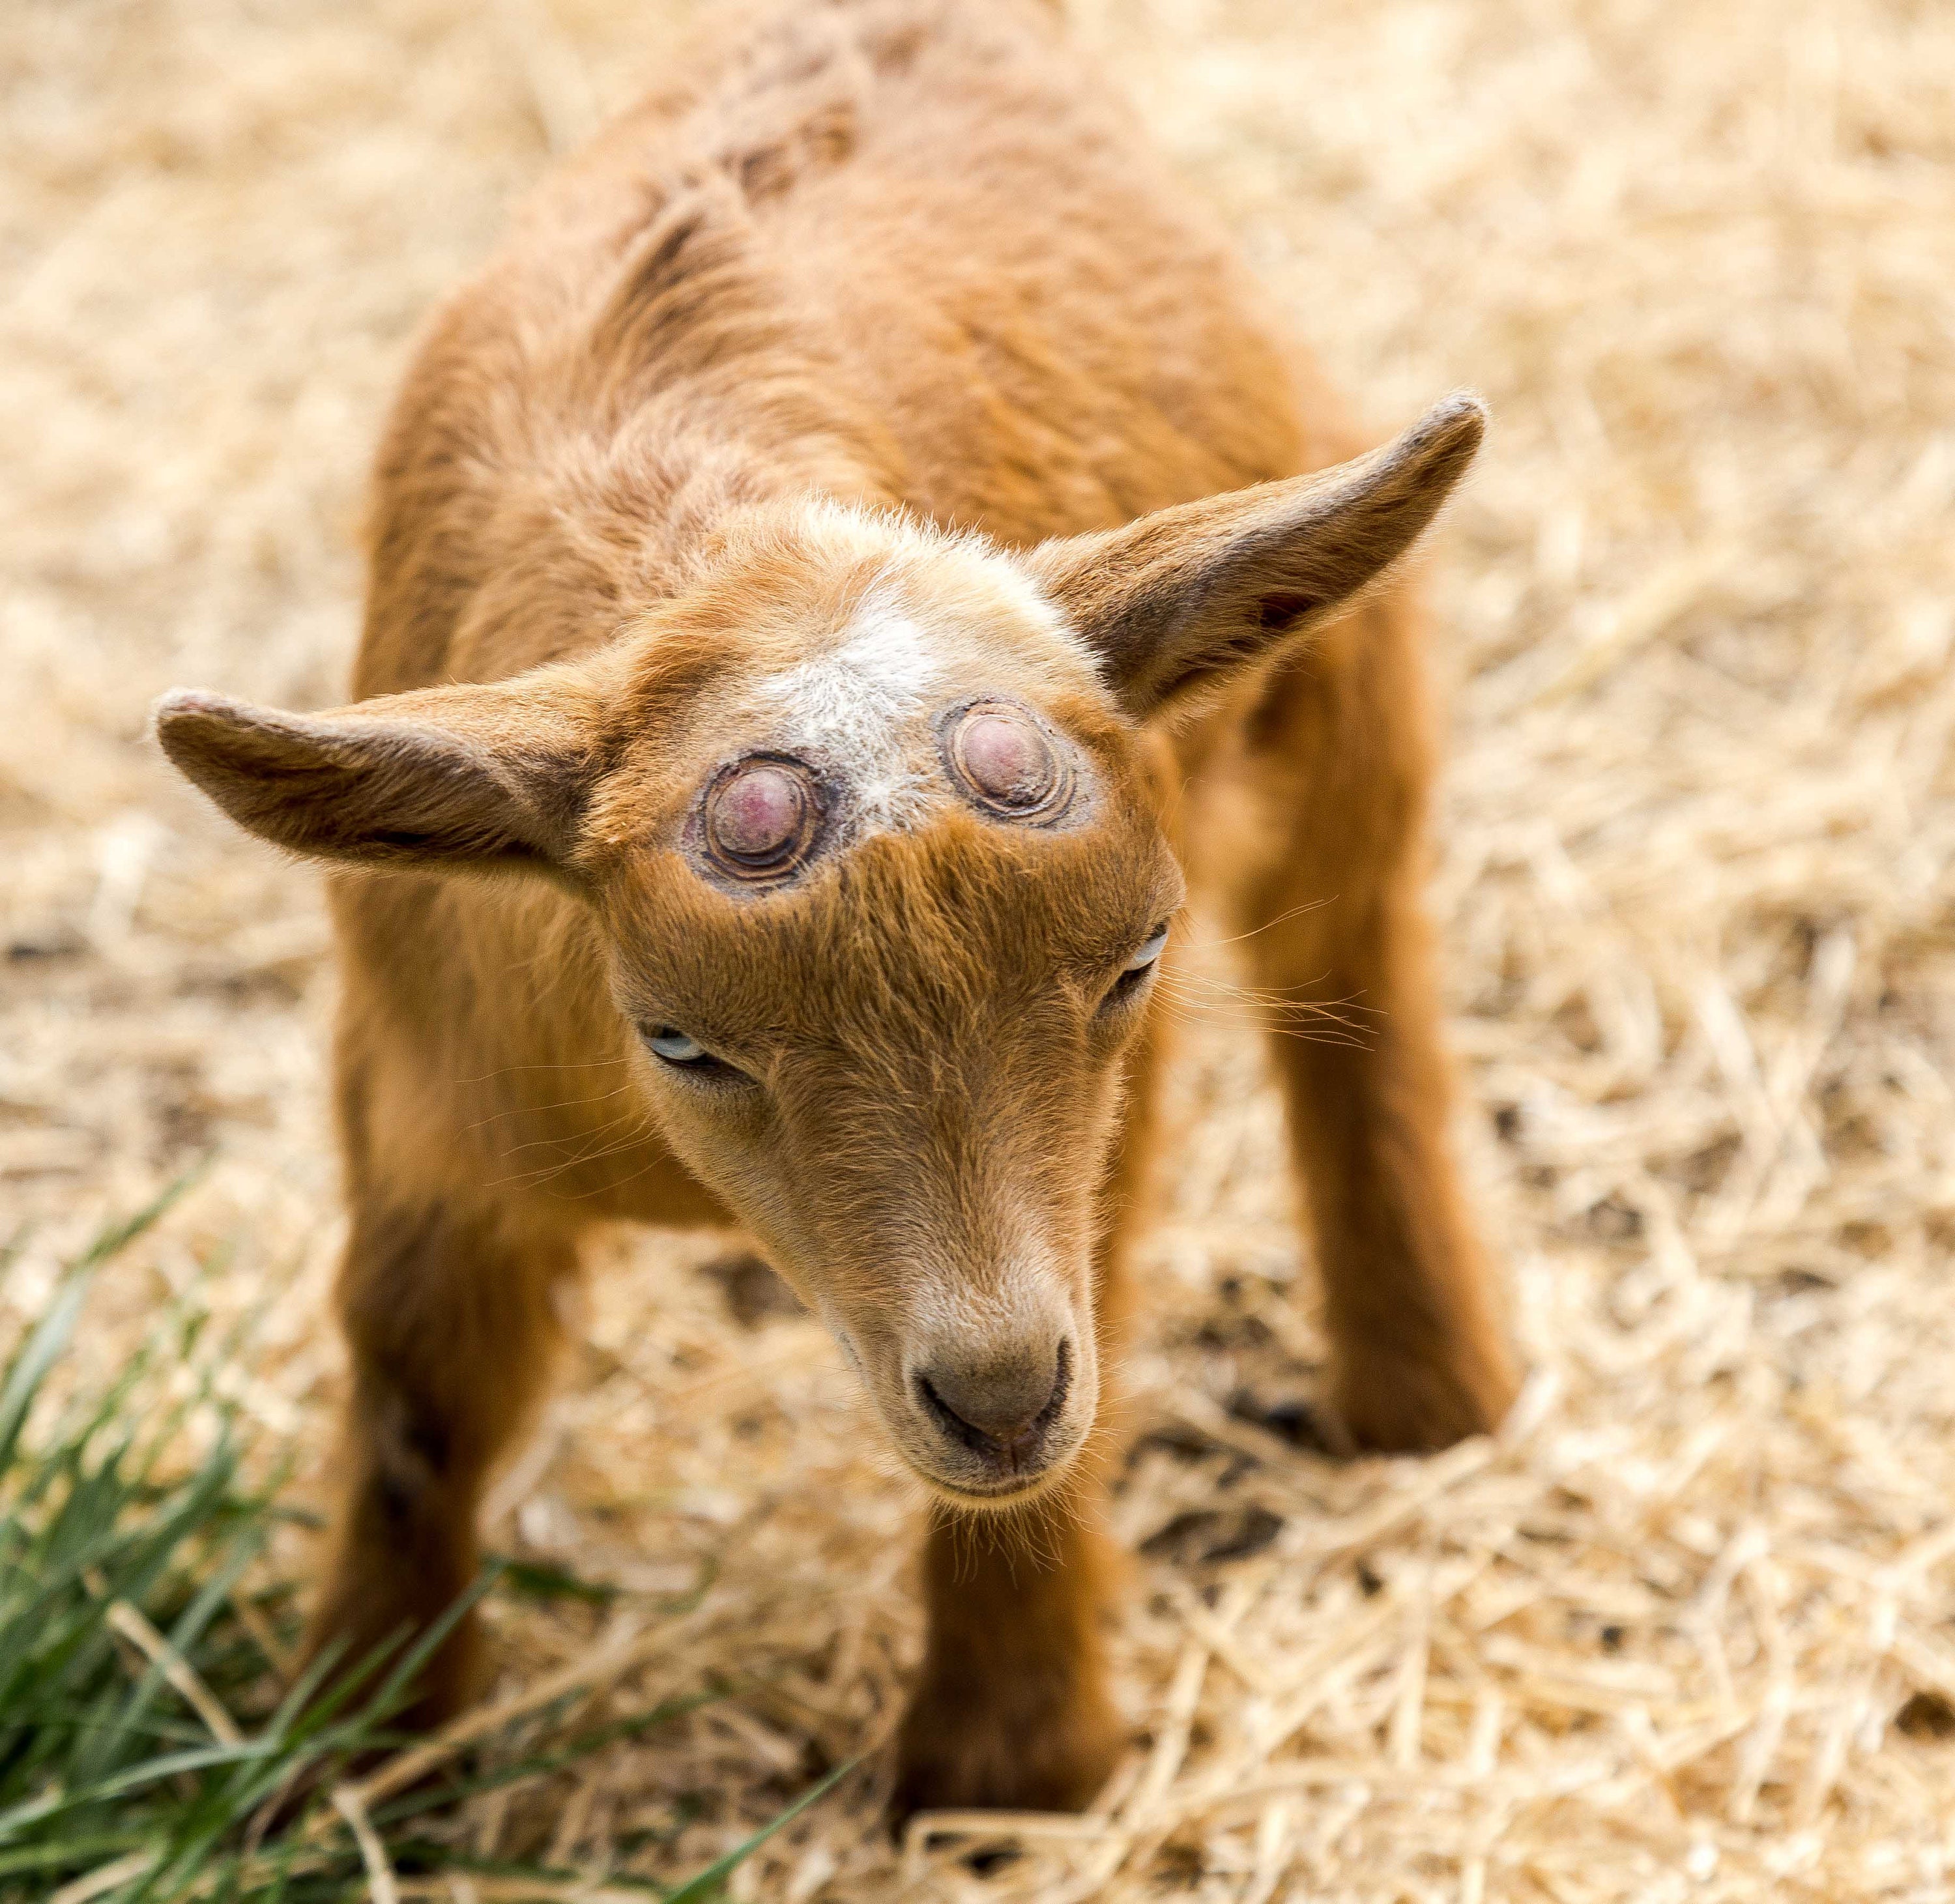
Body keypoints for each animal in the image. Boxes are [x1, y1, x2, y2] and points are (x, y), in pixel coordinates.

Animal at [157, 0, 1518, 1817]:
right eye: (680, 1038)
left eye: (1134, 963)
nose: (997, 1398)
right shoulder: (423, 1082)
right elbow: (419, 1383)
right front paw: (353, 1748)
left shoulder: (1102, 1132)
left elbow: (1089, 1306)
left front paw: (1006, 1769)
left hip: (1341, 691)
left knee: (1357, 972)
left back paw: (1429, 1401)